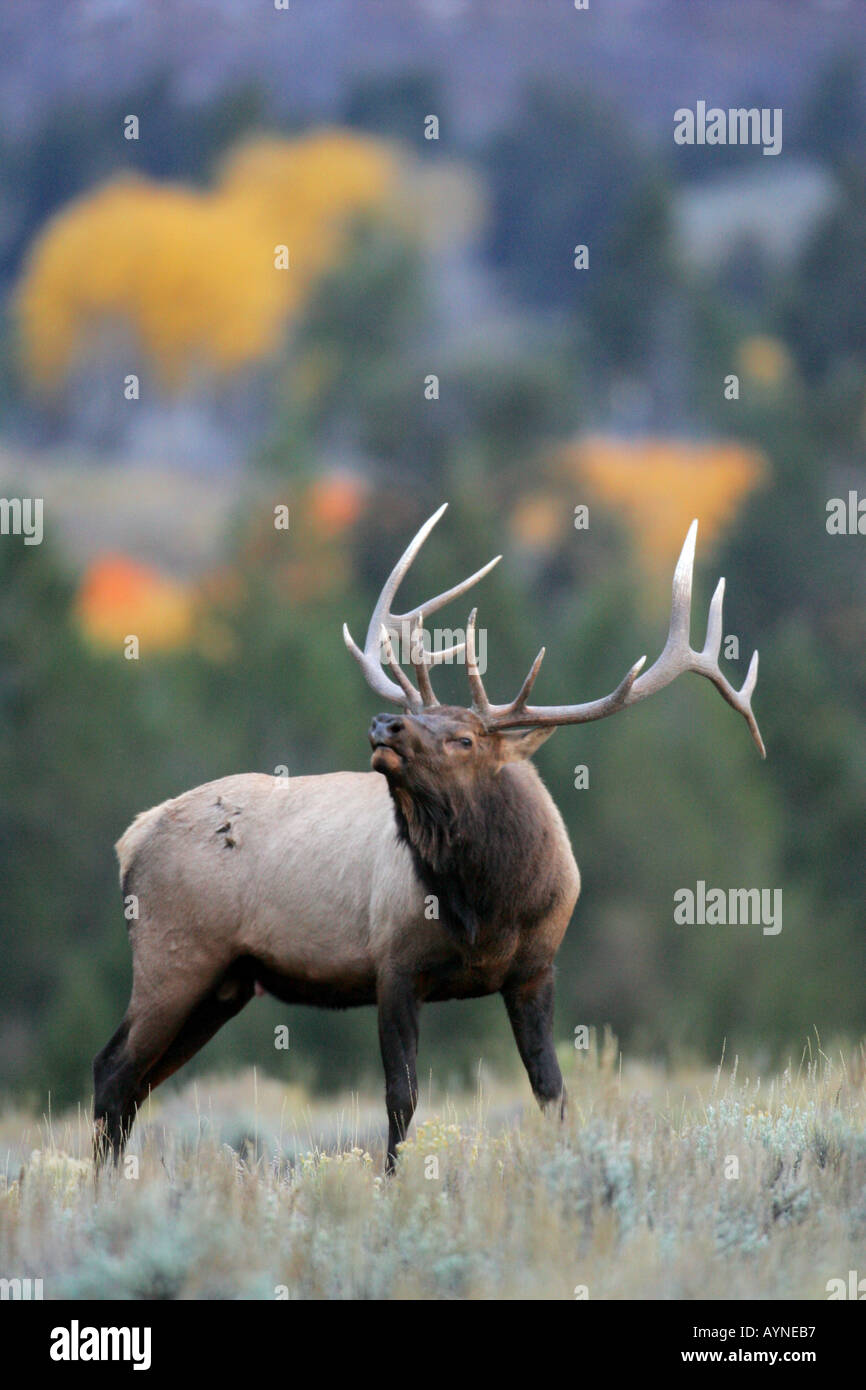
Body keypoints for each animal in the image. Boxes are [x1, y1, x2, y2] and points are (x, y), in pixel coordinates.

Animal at [93, 504, 764, 1172]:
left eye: (464, 737)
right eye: (422, 717)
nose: (385, 723)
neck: (490, 910)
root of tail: (132, 837)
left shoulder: (535, 969)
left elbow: (551, 1091)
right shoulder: (393, 964)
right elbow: (402, 1099)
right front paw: (393, 1178)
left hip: (224, 982)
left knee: (137, 1083)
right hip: (174, 955)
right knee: (113, 1071)